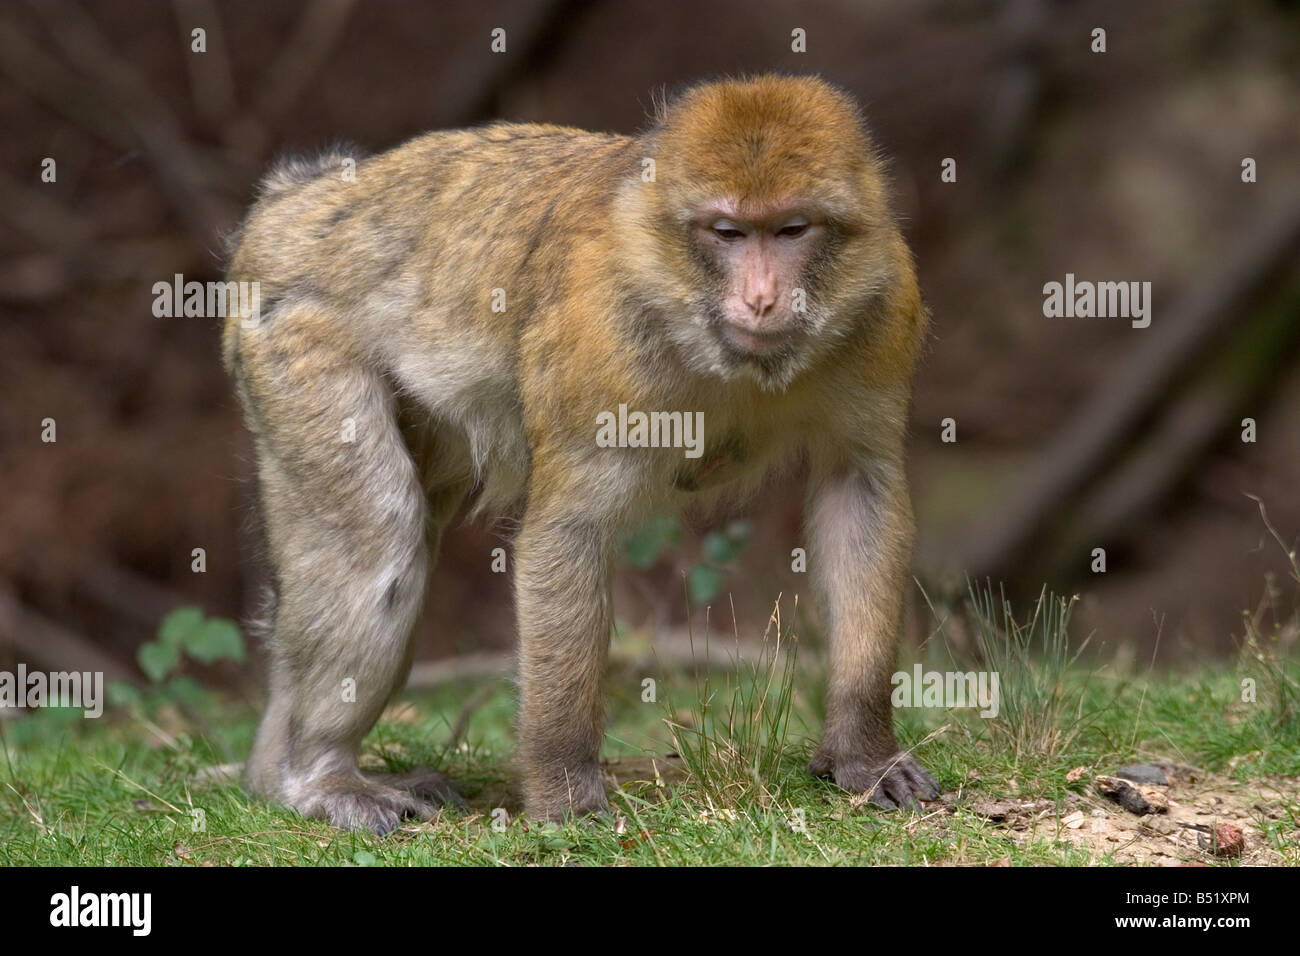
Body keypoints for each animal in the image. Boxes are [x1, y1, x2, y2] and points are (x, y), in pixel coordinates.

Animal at [222, 74, 939, 833]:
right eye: (728, 233)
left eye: (792, 230)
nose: (762, 297)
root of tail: (296, 199)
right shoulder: (600, 338)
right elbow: (569, 532)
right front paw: (566, 796)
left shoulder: (884, 307)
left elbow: (859, 492)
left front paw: (862, 754)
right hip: (293, 333)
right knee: (378, 537)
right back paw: (318, 777)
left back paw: (271, 773)